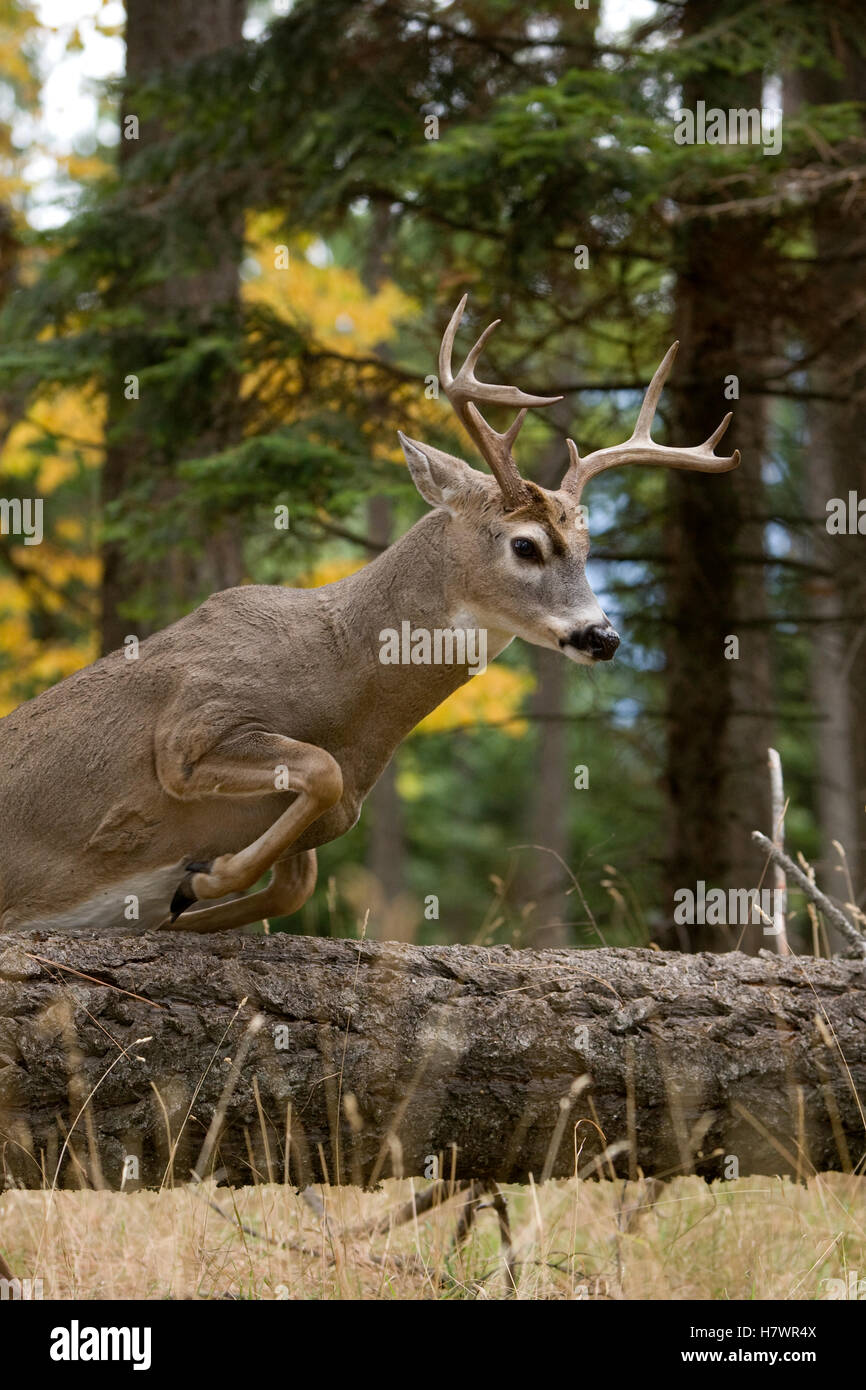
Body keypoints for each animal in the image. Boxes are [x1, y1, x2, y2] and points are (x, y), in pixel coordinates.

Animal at [0, 297, 738, 935]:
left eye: (588, 550)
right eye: (526, 544)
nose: (603, 636)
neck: (343, 681)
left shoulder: (334, 811)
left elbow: (298, 877)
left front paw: (191, 888)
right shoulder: (194, 724)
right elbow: (318, 773)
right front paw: (200, 879)